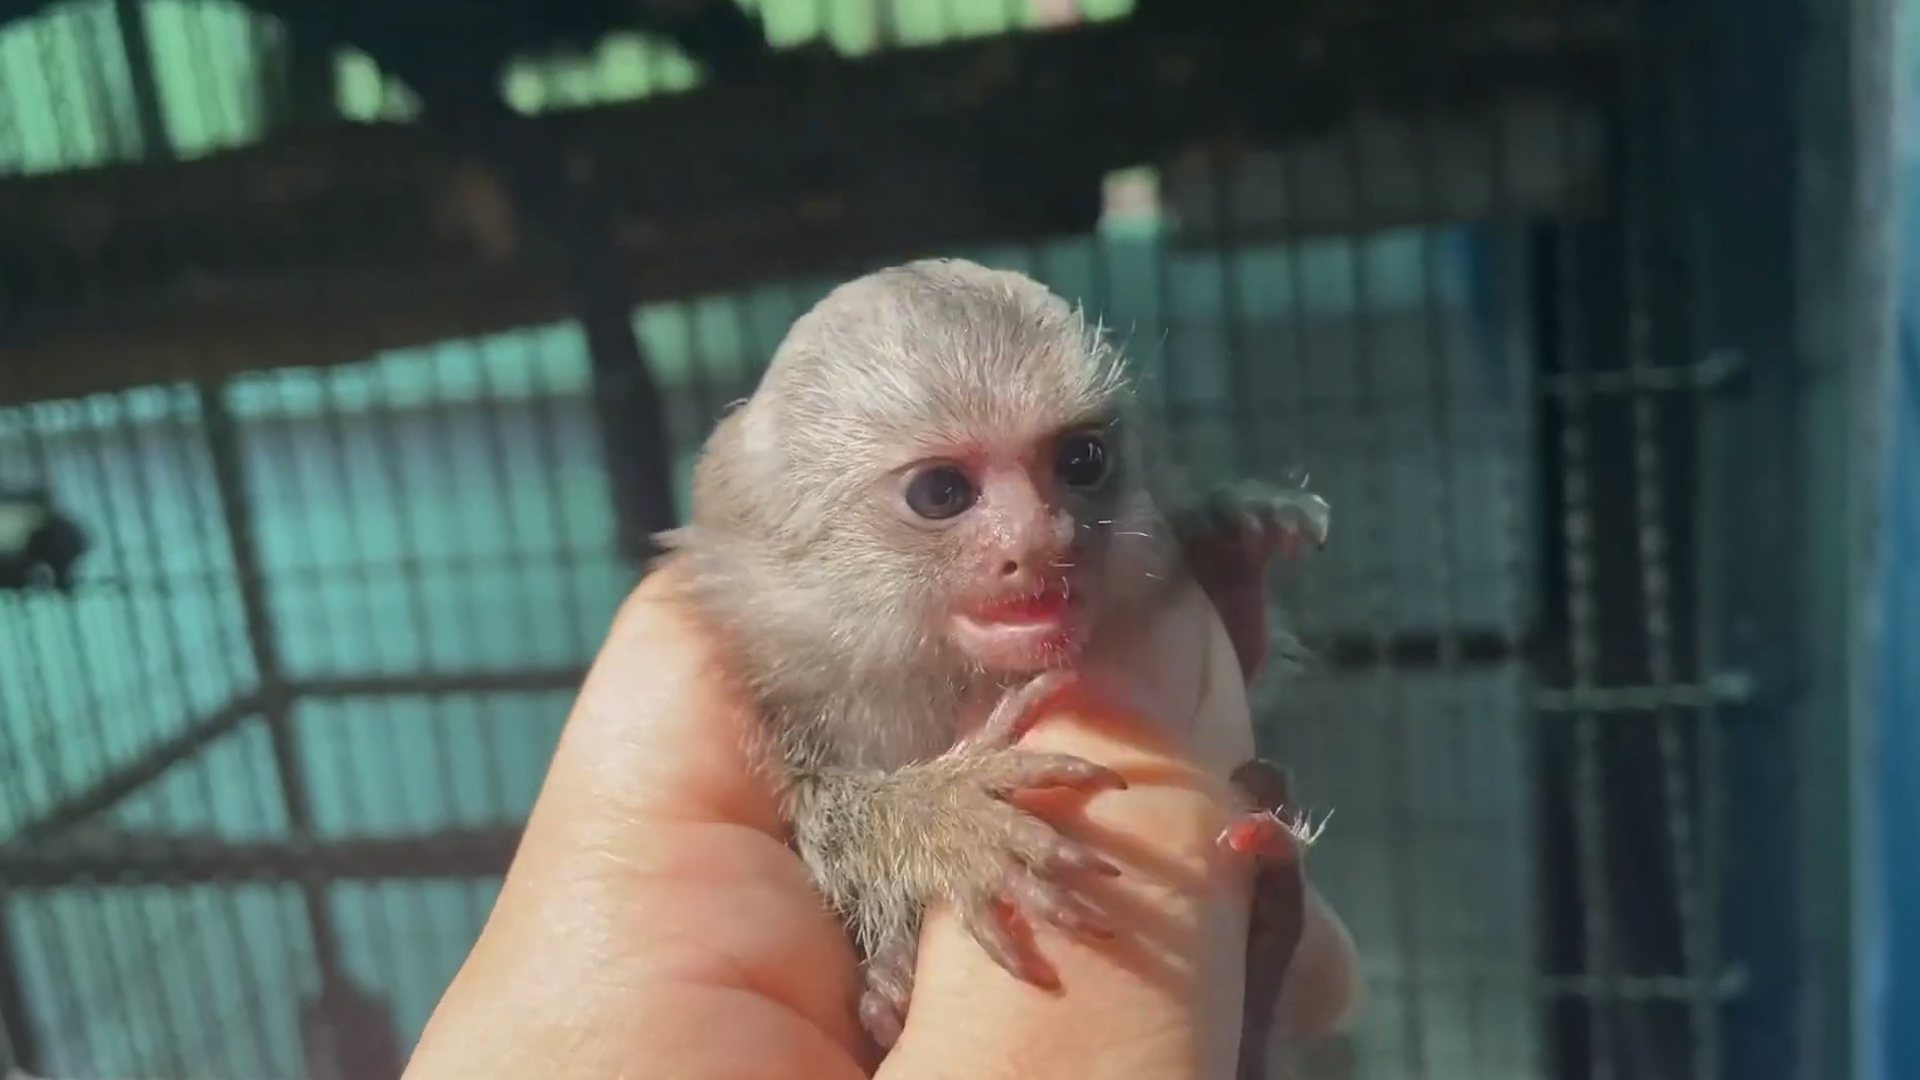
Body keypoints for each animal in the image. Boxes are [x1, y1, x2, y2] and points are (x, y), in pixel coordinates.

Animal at [657, 258, 1353, 1063]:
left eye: (1083, 460)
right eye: (941, 493)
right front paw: (945, 816)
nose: (1043, 541)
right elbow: (820, 824)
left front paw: (1231, 563)